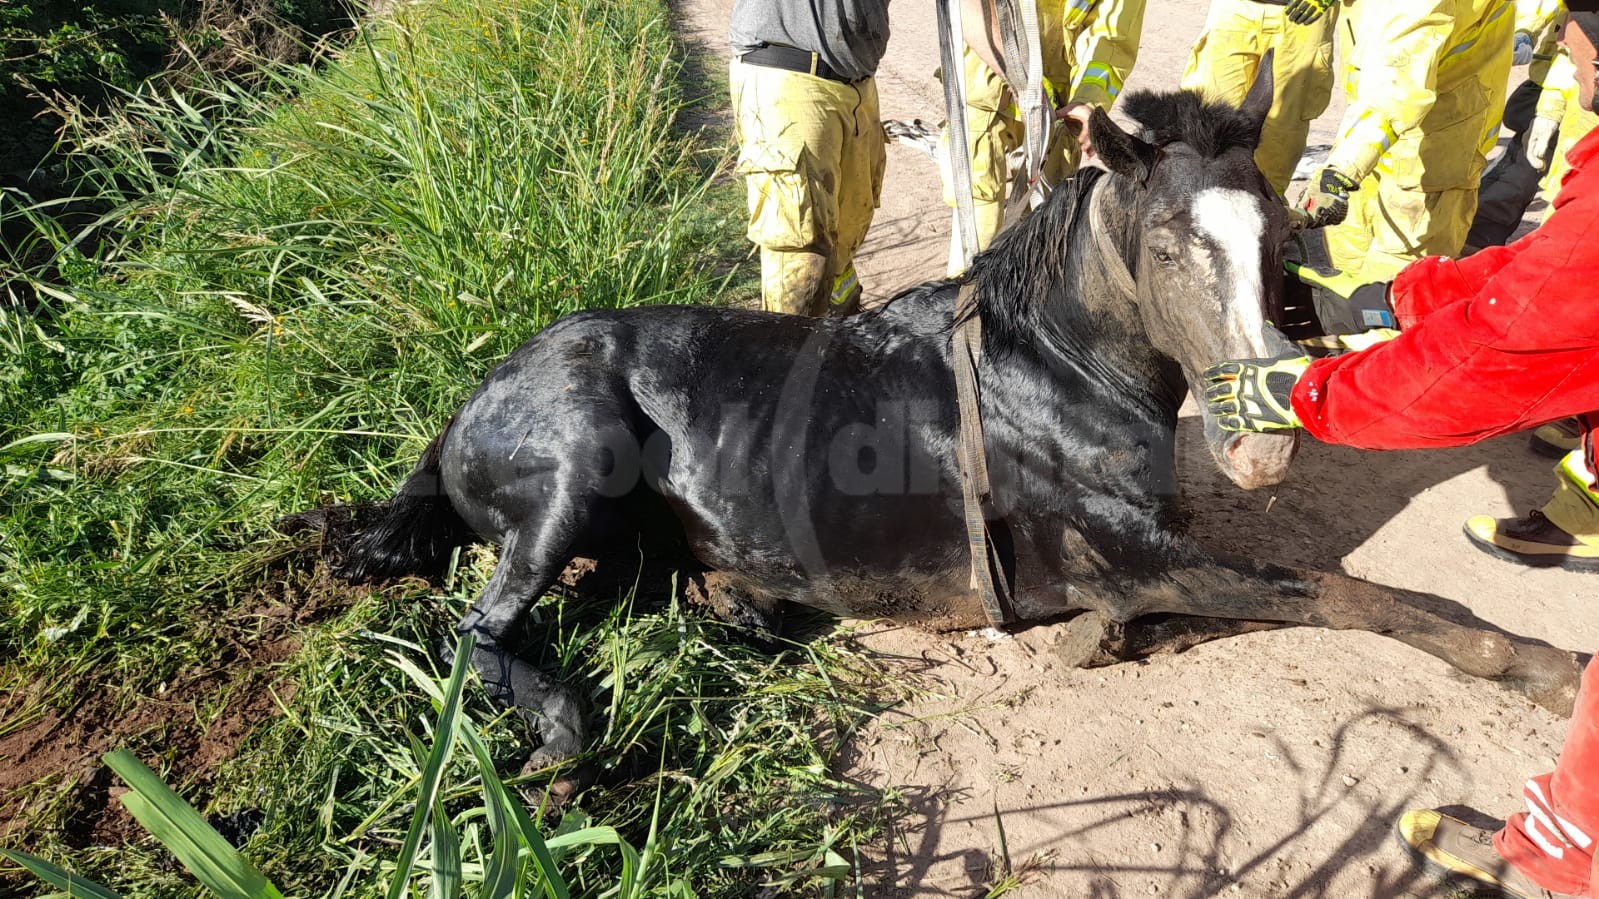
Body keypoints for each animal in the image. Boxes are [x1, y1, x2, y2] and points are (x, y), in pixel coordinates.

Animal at [329, 74, 1580, 785]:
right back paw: (559, 738)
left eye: (1279, 234)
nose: (1262, 447)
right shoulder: (1141, 556)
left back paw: (737, 600)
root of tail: (468, 409)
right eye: (1169, 243)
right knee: (480, 630)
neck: (1056, 371)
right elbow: (1349, 593)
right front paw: (1545, 666)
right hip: (573, 467)